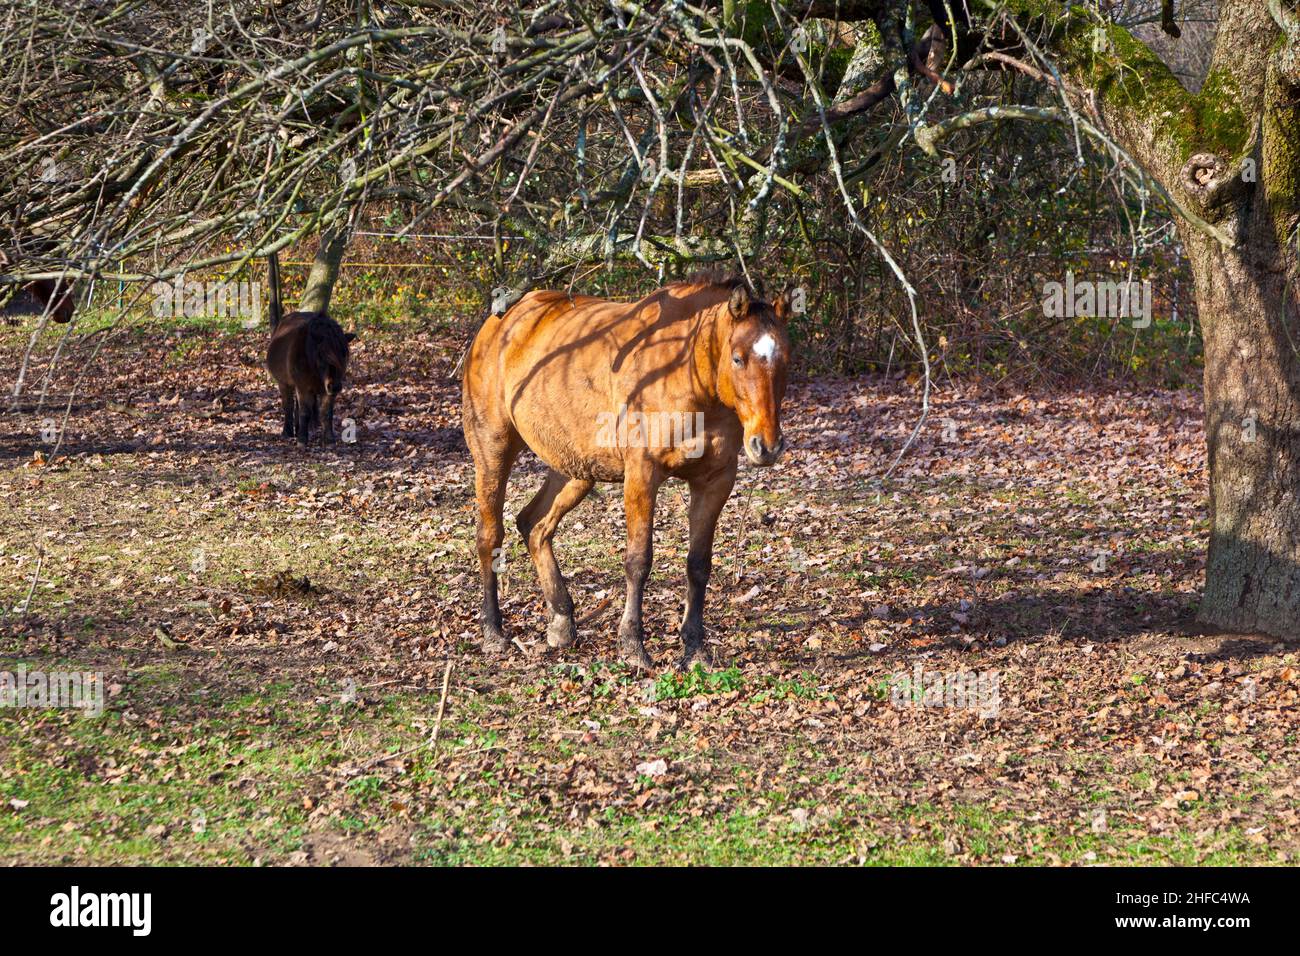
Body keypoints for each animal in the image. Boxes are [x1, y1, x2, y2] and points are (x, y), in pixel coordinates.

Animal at [264, 252, 356, 445]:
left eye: (344, 354)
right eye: (322, 354)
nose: (335, 386)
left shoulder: (327, 391)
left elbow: (326, 413)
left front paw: (328, 438)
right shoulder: (303, 386)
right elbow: (304, 411)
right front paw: (302, 439)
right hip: (285, 383)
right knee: (289, 406)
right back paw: (289, 431)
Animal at [461, 272, 791, 670]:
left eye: (786, 360)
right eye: (738, 358)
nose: (767, 445)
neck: (688, 374)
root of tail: (498, 325)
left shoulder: (714, 481)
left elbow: (698, 564)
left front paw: (694, 646)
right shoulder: (642, 476)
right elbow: (638, 560)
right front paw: (632, 644)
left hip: (575, 469)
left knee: (534, 525)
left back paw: (561, 619)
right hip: (492, 452)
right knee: (489, 536)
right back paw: (493, 631)